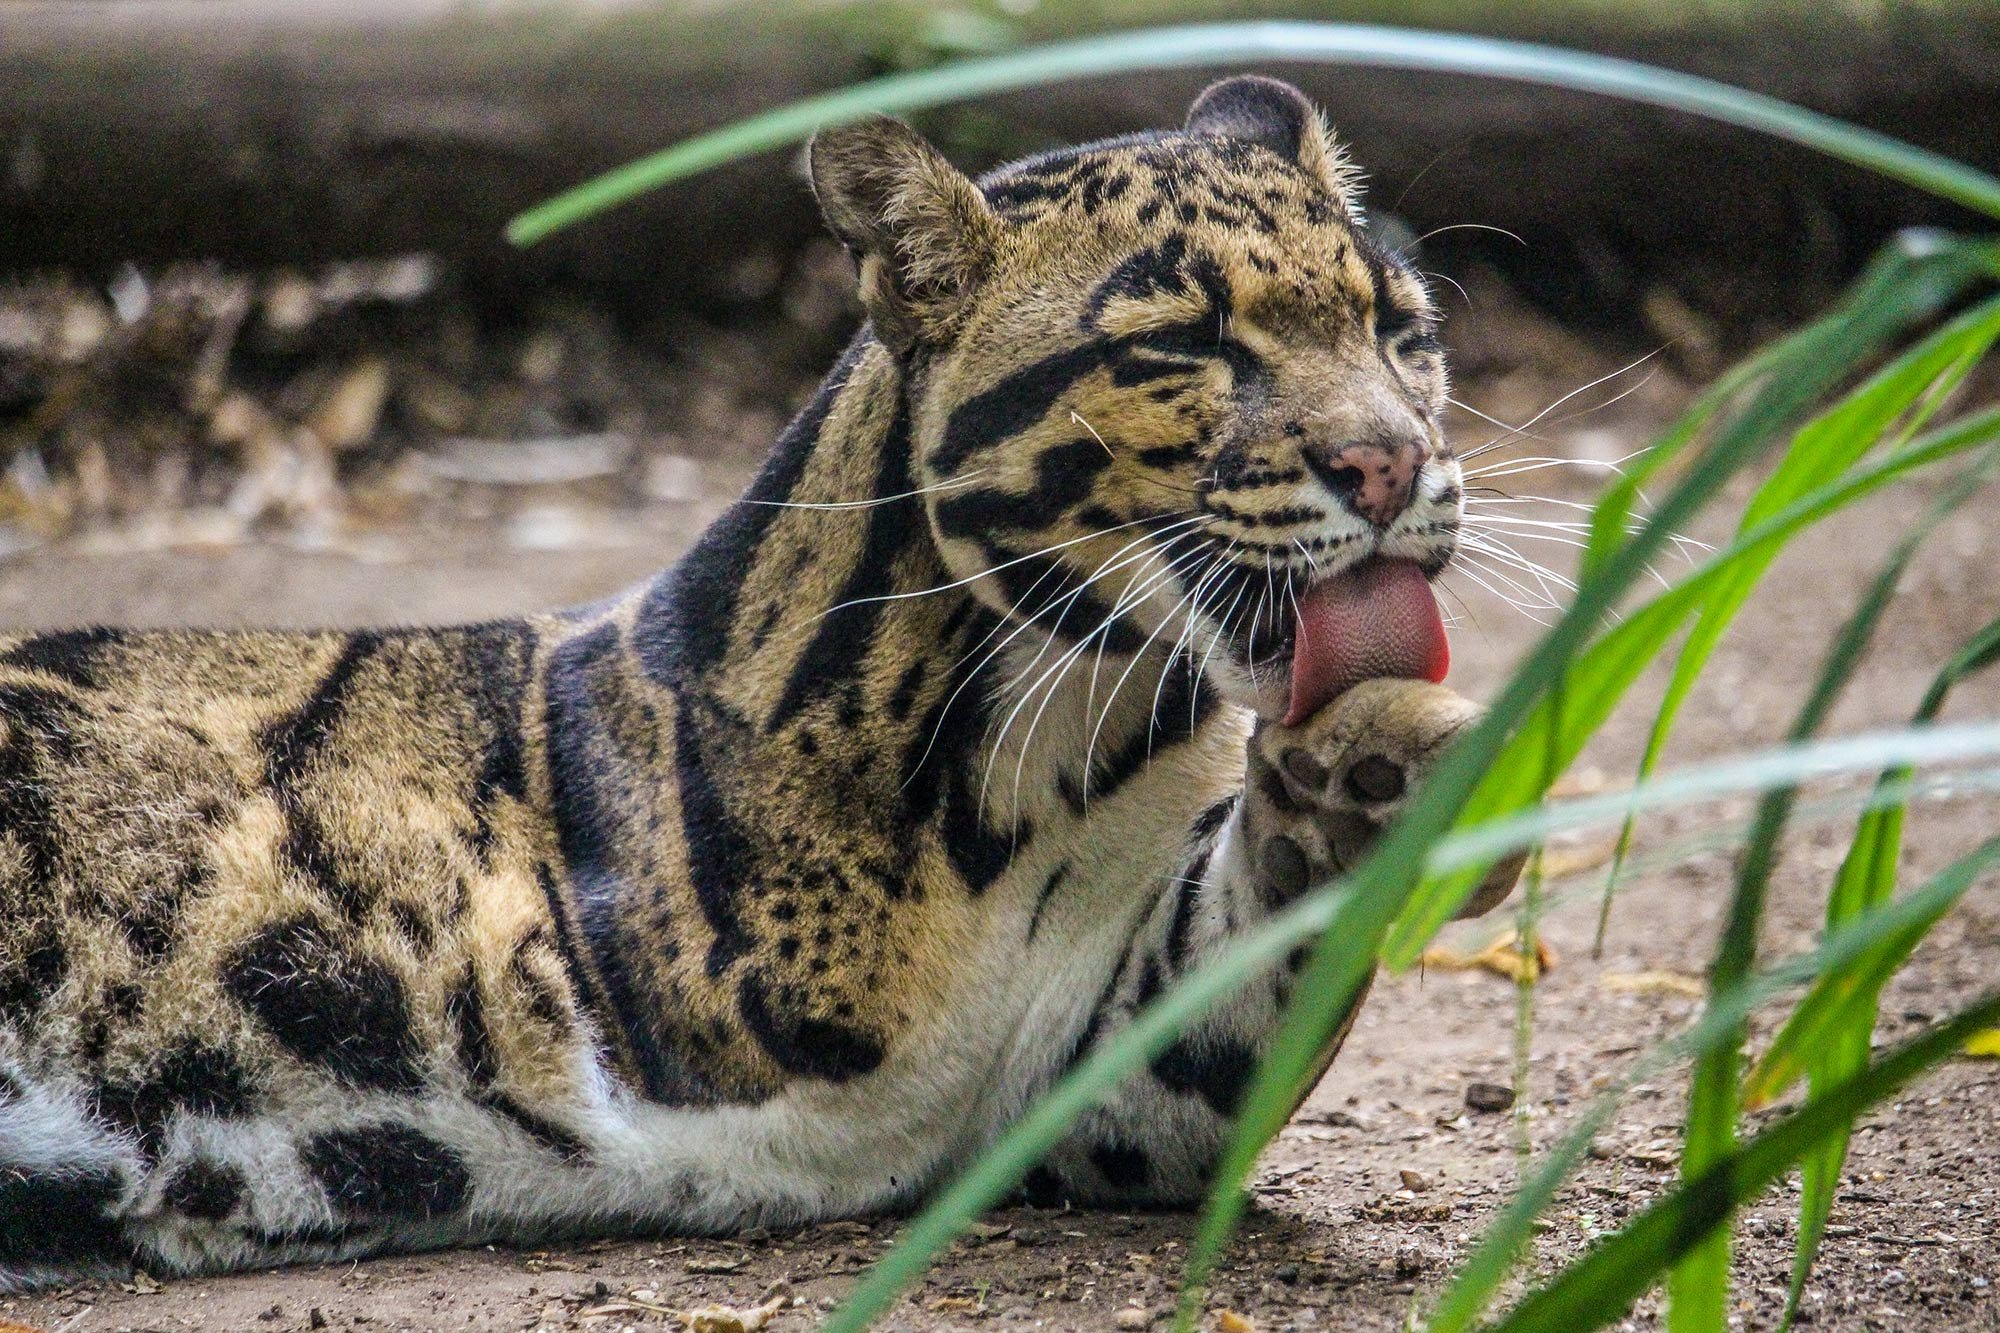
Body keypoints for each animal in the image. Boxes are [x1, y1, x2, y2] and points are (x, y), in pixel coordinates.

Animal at [0, 76, 1523, 1286]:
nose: (1391, 464)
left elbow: (1241, 978)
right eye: (1183, 345)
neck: (1078, 737)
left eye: (1401, 329)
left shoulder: (1084, 1090)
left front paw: (1375, 782)